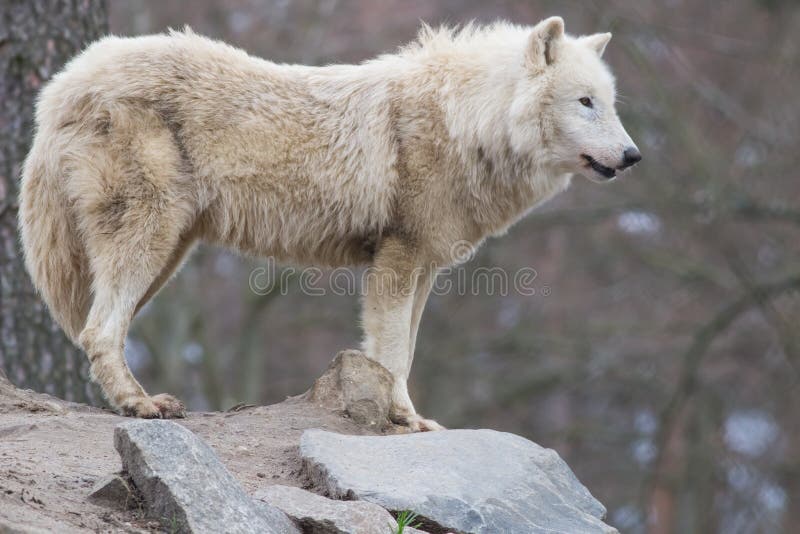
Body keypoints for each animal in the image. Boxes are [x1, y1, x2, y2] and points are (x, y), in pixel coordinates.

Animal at [19, 17, 640, 431]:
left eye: (610, 103)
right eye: (585, 102)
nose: (634, 156)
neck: (466, 122)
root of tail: (62, 85)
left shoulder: (424, 268)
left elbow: (405, 351)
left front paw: (409, 417)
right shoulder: (398, 259)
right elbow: (392, 354)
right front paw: (404, 420)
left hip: (166, 255)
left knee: (98, 329)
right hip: (150, 239)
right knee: (99, 330)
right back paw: (142, 405)